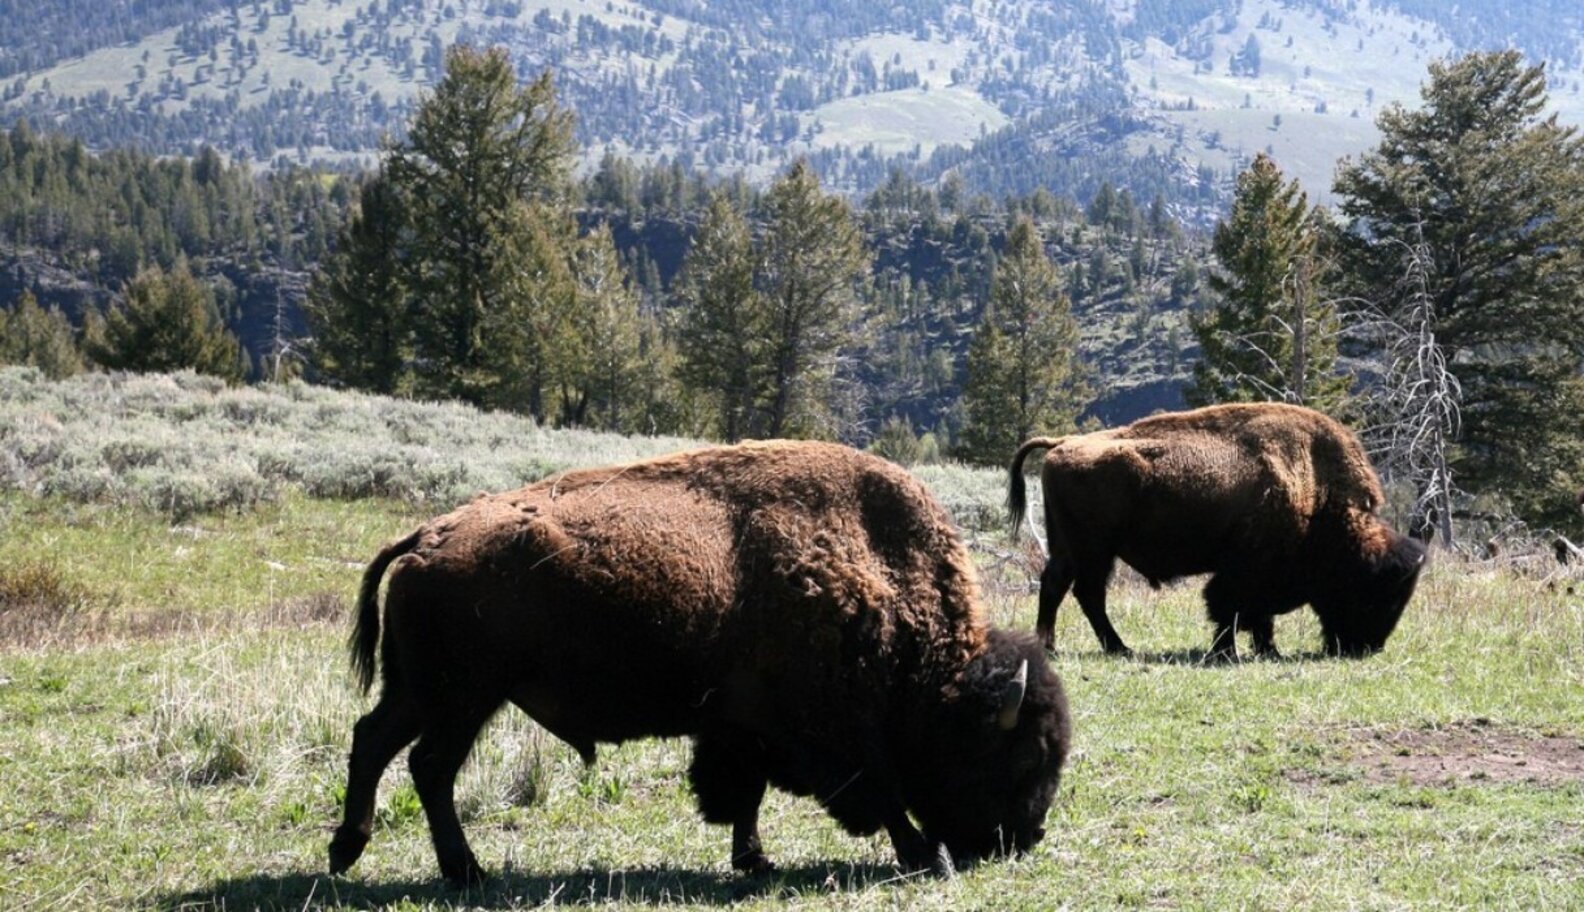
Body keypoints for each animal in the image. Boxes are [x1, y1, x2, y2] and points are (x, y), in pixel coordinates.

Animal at [330, 440, 1070, 884]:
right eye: (1024, 755)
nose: (1025, 836)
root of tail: (425, 539)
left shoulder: (744, 730)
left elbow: (745, 794)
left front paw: (754, 860)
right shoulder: (835, 732)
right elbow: (878, 789)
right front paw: (921, 853)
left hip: (422, 692)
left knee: (376, 743)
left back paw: (351, 852)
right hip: (462, 700)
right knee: (428, 767)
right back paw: (462, 870)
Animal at [1008, 403, 1426, 660]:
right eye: (1378, 594)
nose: (1367, 646)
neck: (1318, 493)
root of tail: (1063, 443)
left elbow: (1255, 616)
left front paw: (1265, 650)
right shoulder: (1244, 573)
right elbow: (1232, 609)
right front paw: (1230, 651)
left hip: (1073, 548)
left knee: (1062, 587)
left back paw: (1072, 647)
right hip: (1093, 550)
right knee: (1082, 592)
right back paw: (1107, 648)